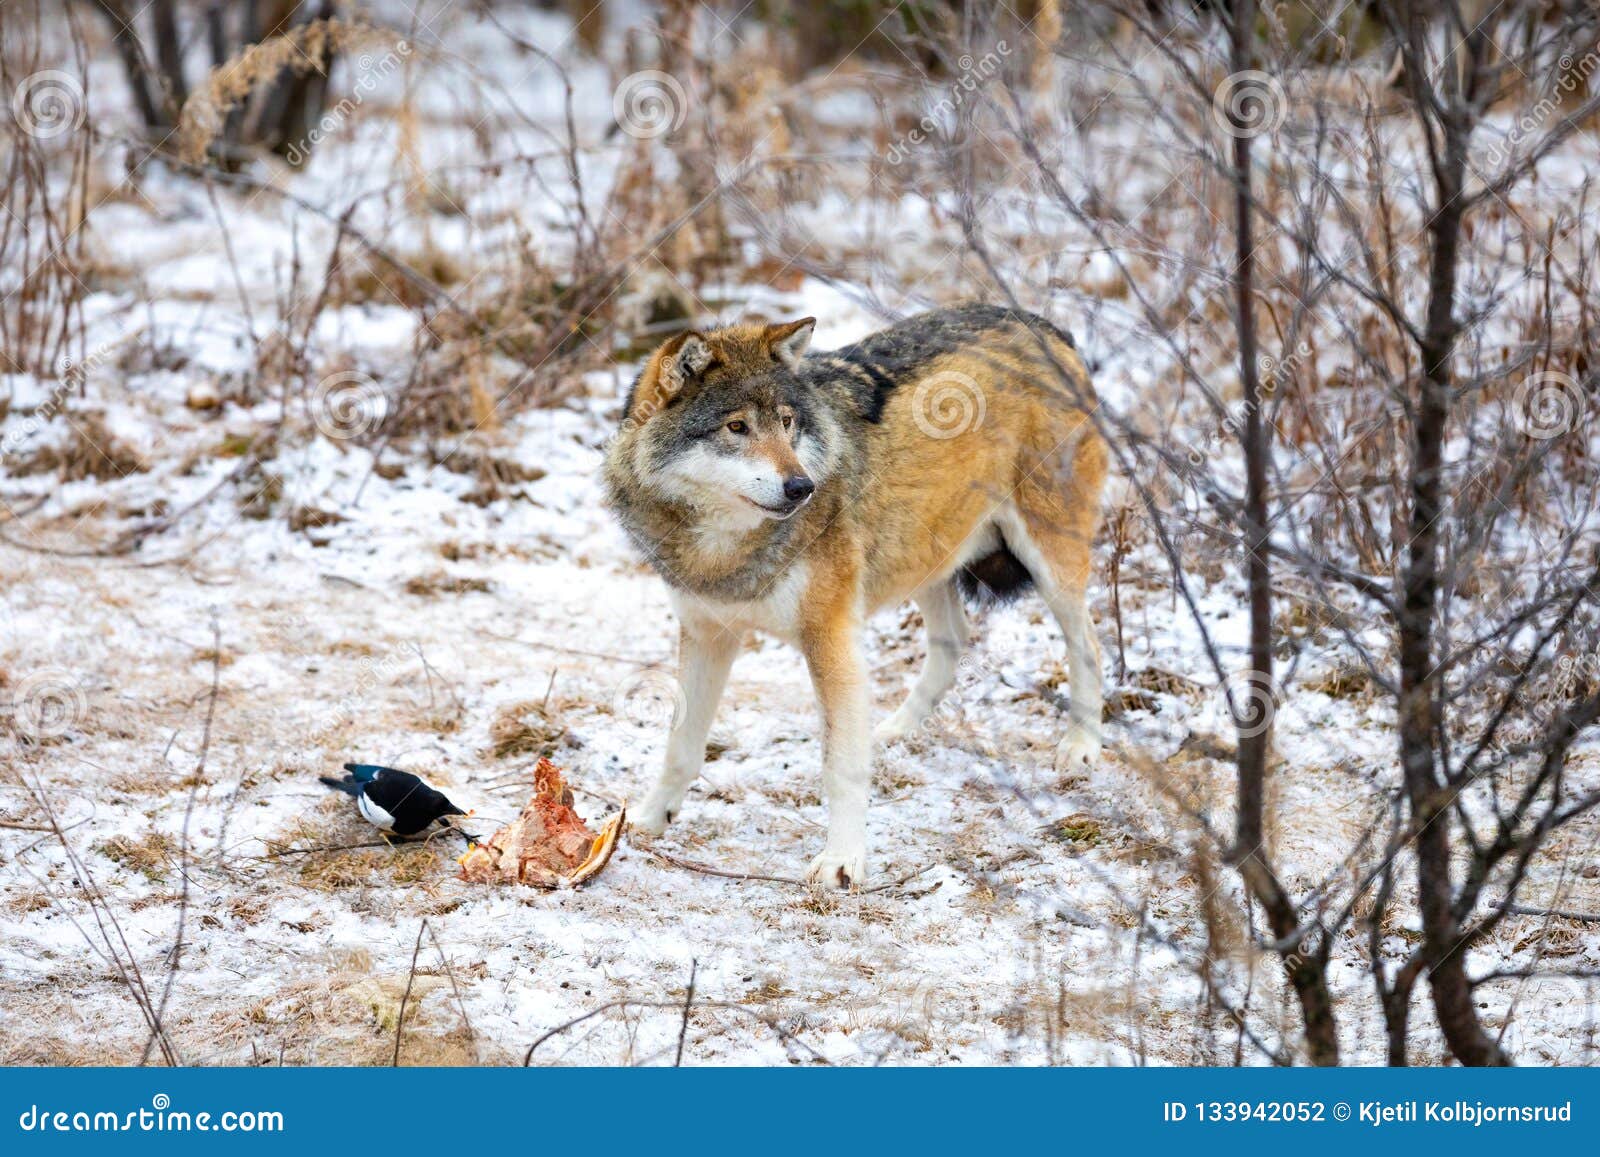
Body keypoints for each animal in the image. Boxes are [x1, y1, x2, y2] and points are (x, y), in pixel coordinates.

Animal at [603, 304, 1107, 887]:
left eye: (787, 422)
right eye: (737, 427)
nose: (802, 487)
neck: (723, 546)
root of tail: (1041, 322)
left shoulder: (831, 637)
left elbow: (839, 766)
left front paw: (842, 861)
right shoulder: (707, 634)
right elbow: (681, 746)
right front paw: (648, 819)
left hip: (1048, 562)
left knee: (1088, 644)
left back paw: (1082, 745)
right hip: (922, 557)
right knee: (955, 640)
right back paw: (895, 729)